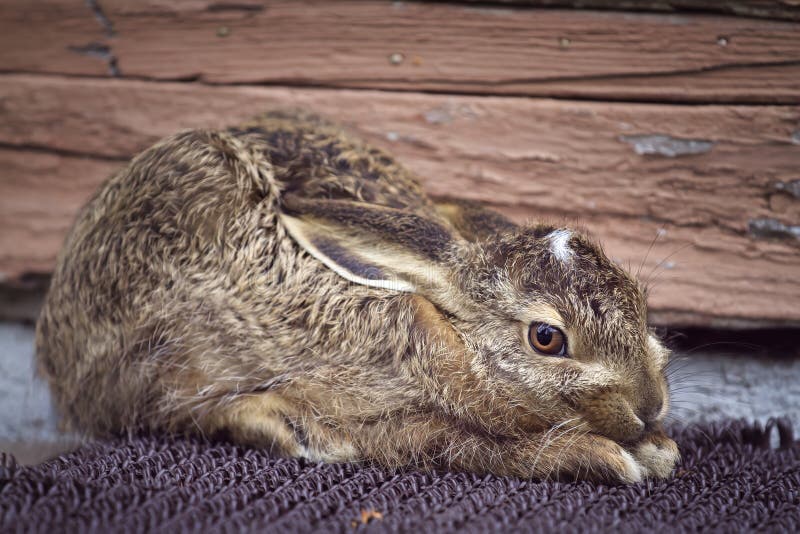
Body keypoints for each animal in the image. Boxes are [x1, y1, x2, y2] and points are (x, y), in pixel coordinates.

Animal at [36, 110, 679, 483]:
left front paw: (657, 446)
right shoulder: (381, 409)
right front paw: (622, 458)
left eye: (638, 299)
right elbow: (468, 445)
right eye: (546, 338)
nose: (650, 405)